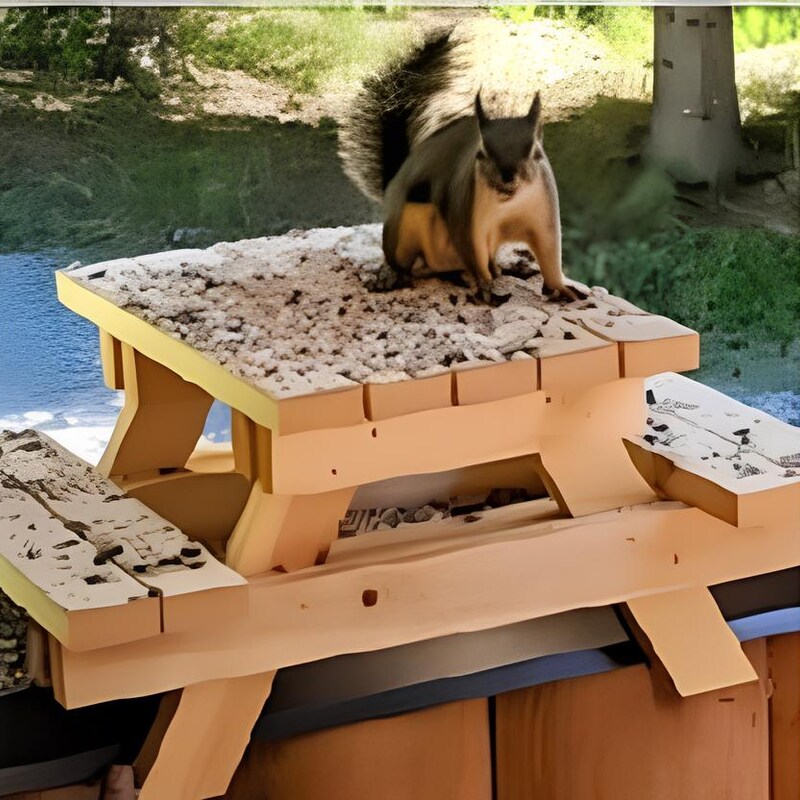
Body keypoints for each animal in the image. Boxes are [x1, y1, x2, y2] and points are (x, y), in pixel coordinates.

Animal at [339, 29, 580, 300]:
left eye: (536, 152)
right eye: (481, 153)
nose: (507, 176)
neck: (508, 204)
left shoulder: (543, 215)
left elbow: (549, 254)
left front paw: (560, 288)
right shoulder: (465, 214)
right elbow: (472, 251)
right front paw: (486, 289)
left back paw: (491, 269)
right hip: (405, 227)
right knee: (405, 260)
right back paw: (398, 276)